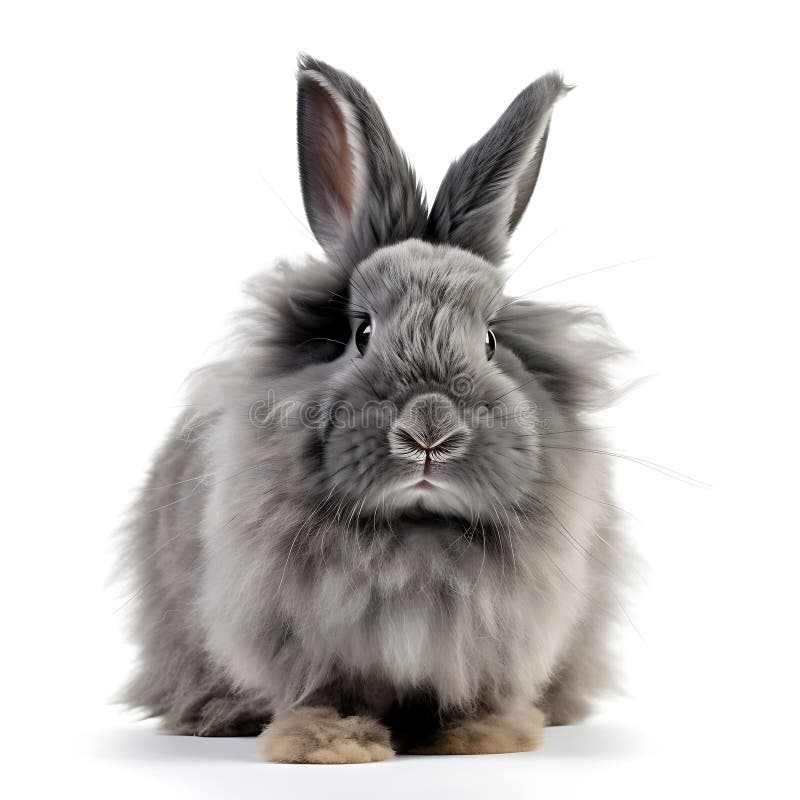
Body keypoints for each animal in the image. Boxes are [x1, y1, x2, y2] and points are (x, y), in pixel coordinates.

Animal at [118, 54, 630, 763]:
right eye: (360, 334)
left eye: (491, 339)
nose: (429, 432)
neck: (412, 535)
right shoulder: (302, 636)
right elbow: (325, 693)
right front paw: (328, 746)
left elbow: (476, 693)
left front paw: (483, 737)